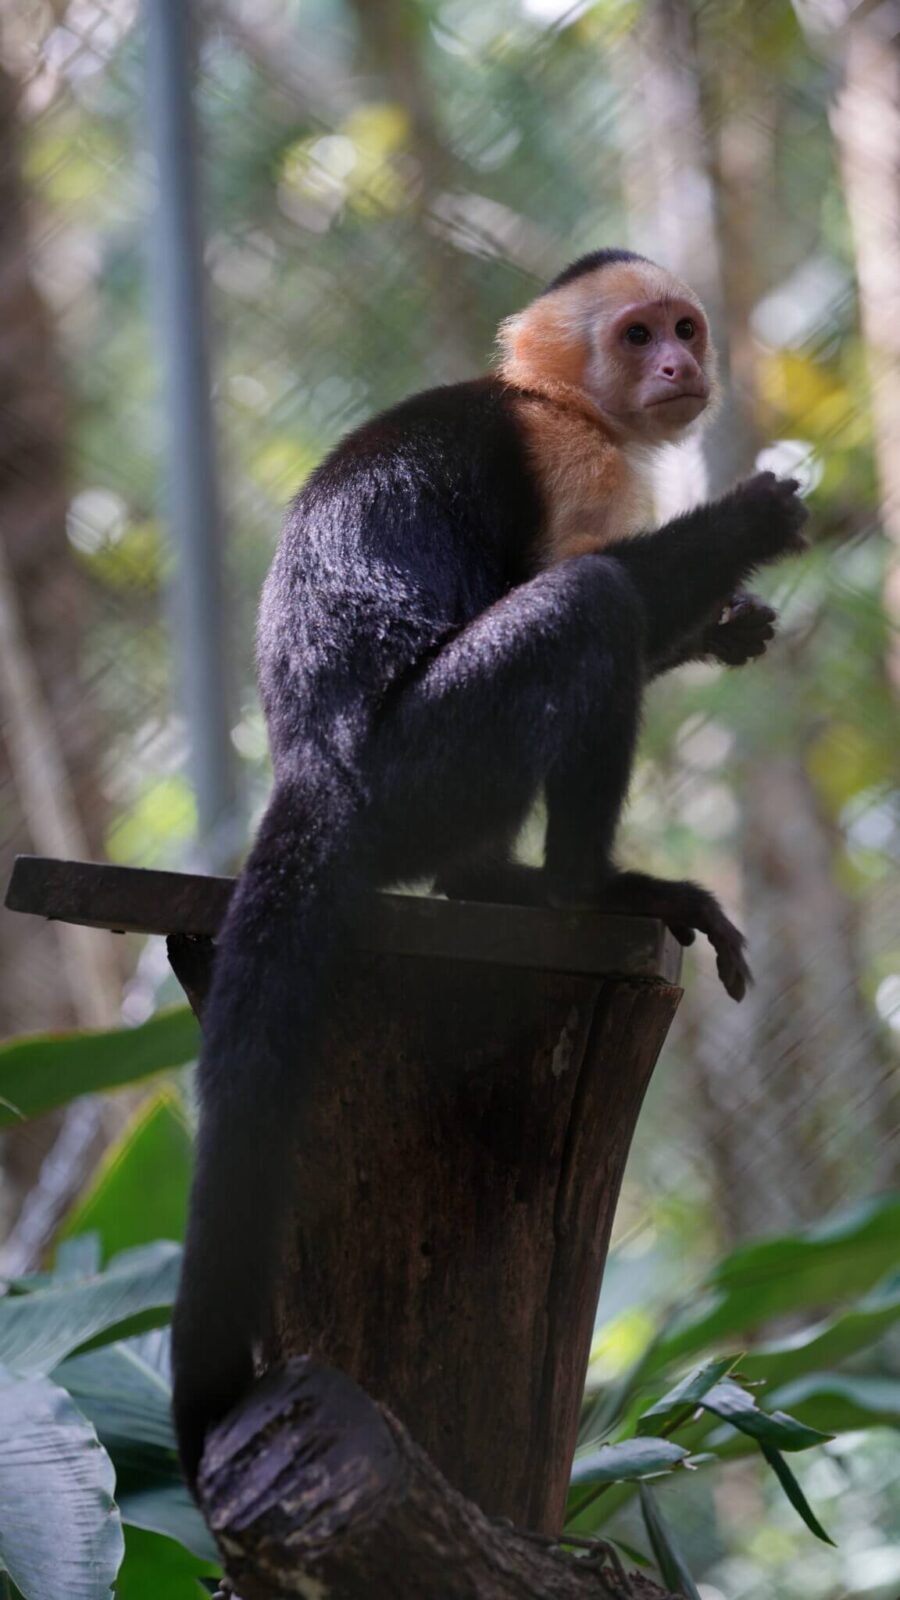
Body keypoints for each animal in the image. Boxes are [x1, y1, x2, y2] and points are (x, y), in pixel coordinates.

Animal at [171, 247, 807, 1489]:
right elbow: (609, 583)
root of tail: (314, 767)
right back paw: (585, 890)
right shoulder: (574, 459)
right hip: (420, 767)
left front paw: (727, 622)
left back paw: (493, 887)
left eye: (686, 330)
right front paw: (750, 520)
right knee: (585, 606)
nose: (677, 367)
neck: (558, 396)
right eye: (638, 335)